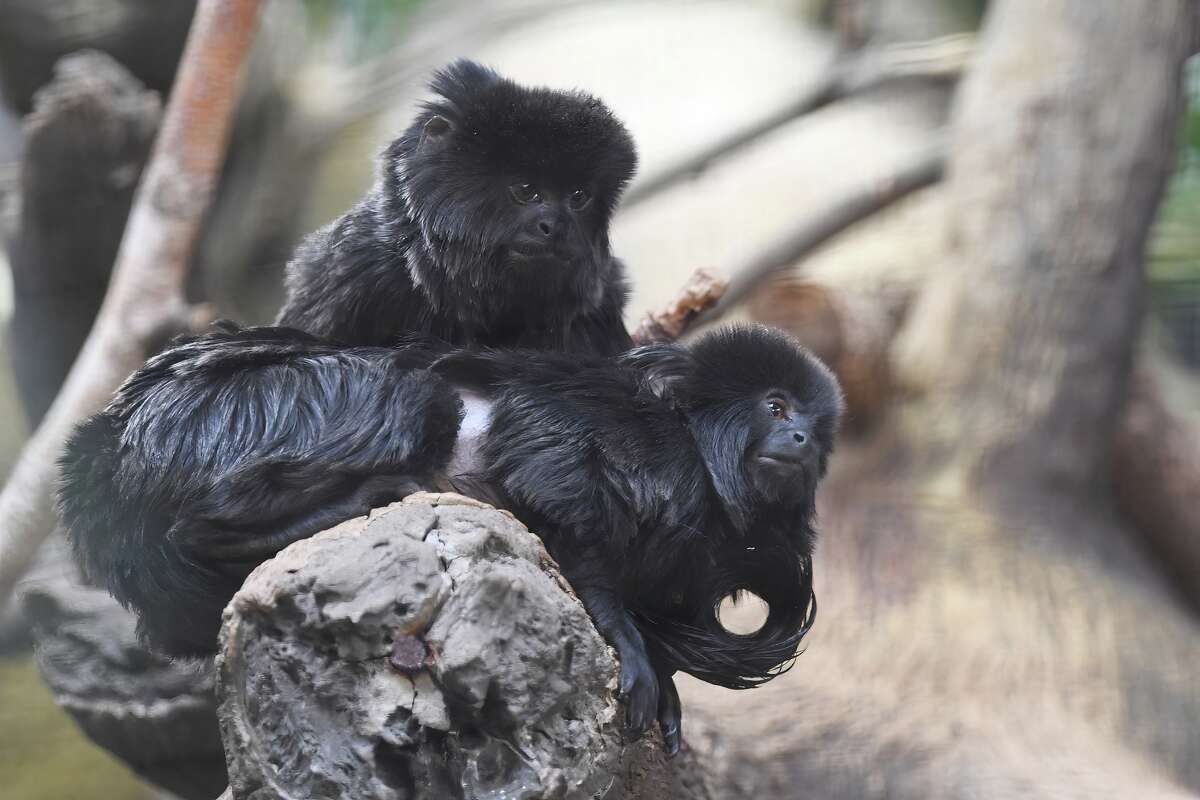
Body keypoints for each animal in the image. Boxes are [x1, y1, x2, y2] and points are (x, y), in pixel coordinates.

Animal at [59, 322, 842, 753]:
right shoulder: (626, 433)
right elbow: (542, 466)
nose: (802, 439)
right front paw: (624, 636)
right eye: (776, 408)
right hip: (256, 409)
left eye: (812, 422)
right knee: (413, 394)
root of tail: (115, 445)